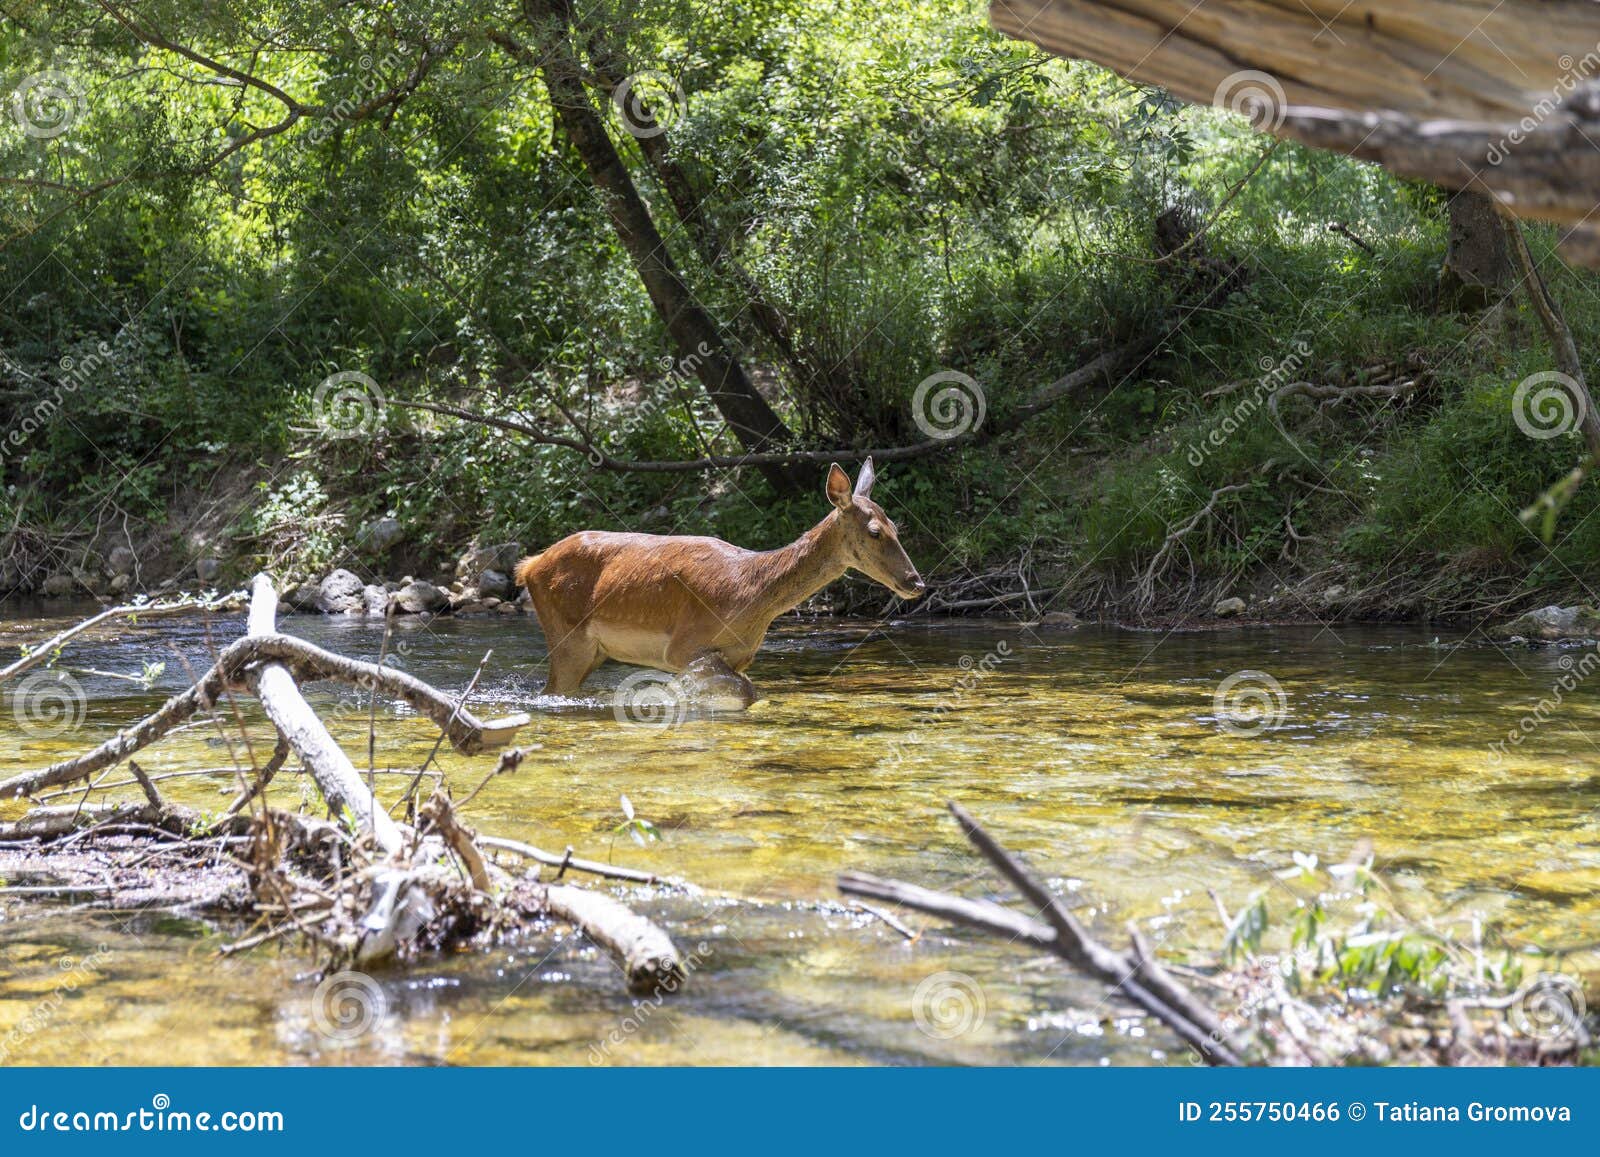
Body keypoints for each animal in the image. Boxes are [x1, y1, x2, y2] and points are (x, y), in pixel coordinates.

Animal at [513, 458, 924, 706]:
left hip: (592, 650)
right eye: (874, 531)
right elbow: (747, 691)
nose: (915, 582)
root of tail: (528, 566)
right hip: (569, 637)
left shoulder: (736, 657)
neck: (751, 595)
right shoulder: (681, 647)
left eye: (896, 525)